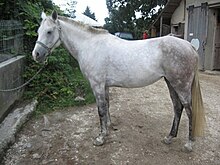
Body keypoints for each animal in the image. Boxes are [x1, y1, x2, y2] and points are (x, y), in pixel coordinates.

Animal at [31, 11, 205, 152]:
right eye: (38, 31)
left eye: (49, 31)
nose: (36, 54)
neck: (90, 46)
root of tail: (189, 46)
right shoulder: (104, 86)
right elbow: (107, 105)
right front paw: (108, 127)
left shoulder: (97, 85)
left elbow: (100, 110)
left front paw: (101, 138)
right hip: (171, 83)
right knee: (177, 108)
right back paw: (169, 137)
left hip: (181, 85)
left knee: (189, 110)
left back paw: (189, 144)